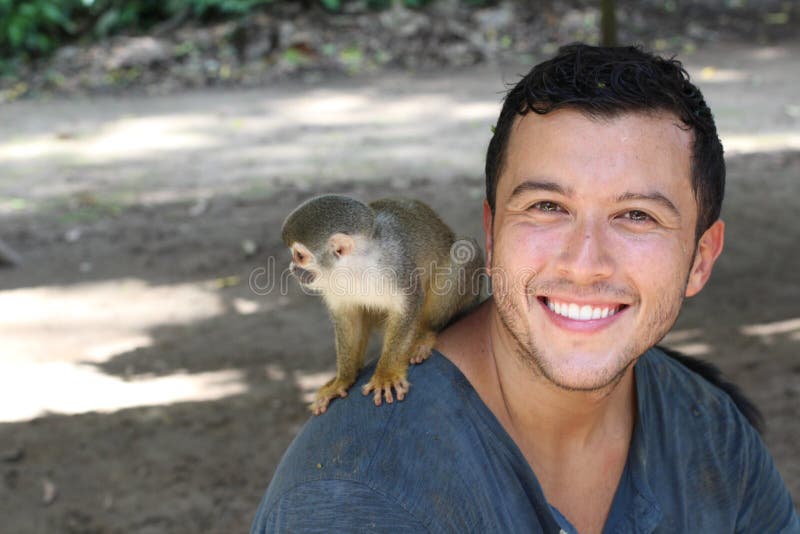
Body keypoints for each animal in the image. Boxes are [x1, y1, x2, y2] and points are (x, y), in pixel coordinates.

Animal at [281, 194, 484, 415]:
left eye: (300, 256)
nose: (292, 268)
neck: (356, 266)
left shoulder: (395, 264)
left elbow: (409, 302)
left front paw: (386, 374)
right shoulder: (332, 283)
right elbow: (347, 319)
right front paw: (343, 380)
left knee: (466, 250)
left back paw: (425, 335)